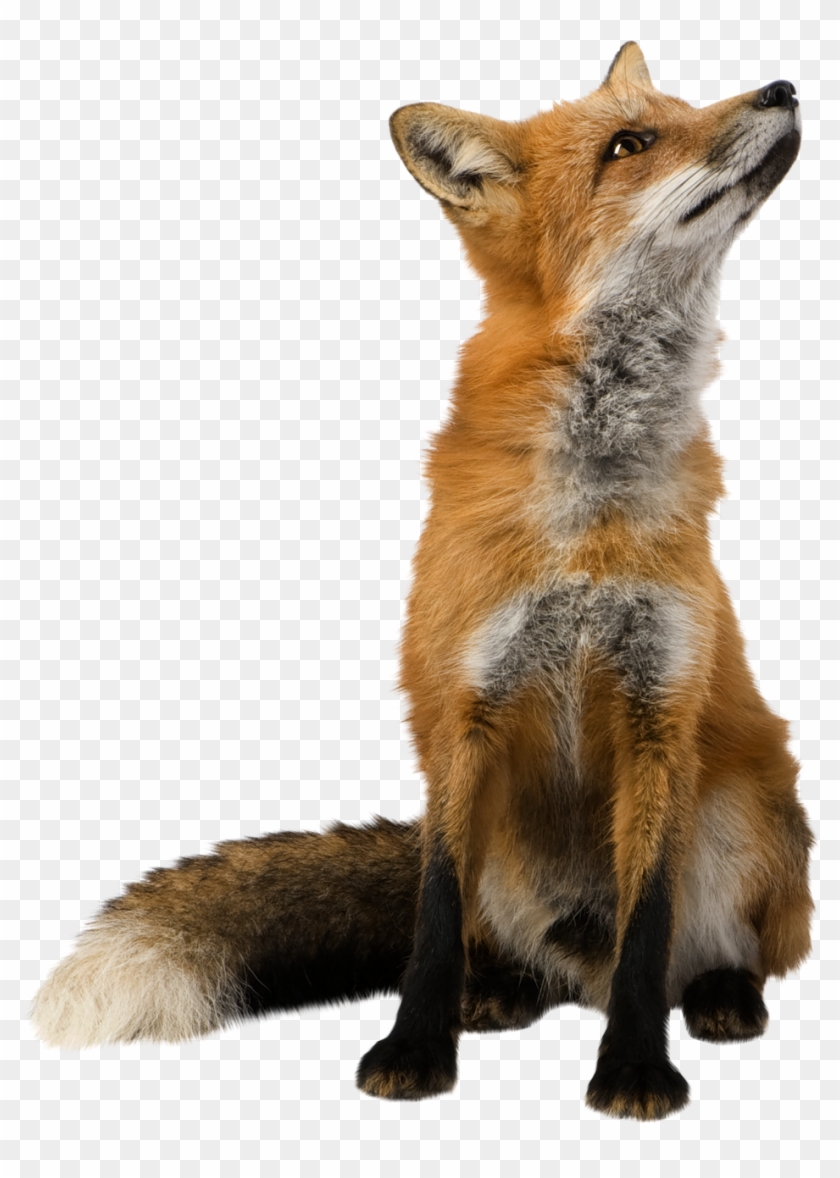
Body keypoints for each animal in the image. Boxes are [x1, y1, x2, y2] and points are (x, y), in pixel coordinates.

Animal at [31, 43, 813, 1121]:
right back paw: (500, 990)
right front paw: (414, 1050)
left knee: (701, 953)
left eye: (683, 103)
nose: (783, 87)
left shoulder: (662, 707)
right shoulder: (461, 709)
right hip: (506, 852)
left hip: (747, 813)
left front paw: (633, 1071)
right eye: (631, 142)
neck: (587, 514)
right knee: (504, 943)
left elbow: (650, 922)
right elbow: (433, 916)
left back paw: (720, 994)